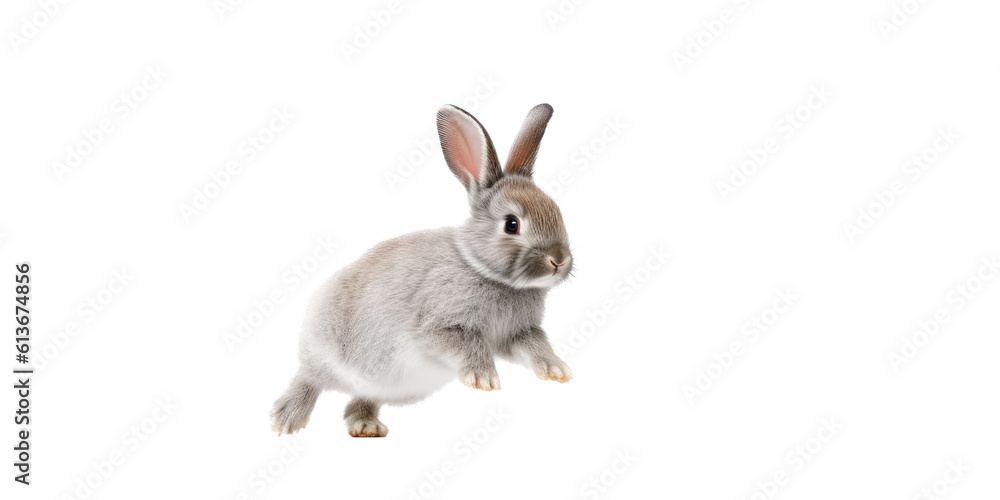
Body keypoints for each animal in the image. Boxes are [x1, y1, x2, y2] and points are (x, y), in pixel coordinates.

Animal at [270, 103, 574, 437]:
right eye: (512, 224)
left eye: (557, 211)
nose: (559, 260)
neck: (486, 270)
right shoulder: (438, 326)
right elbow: (468, 345)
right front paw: (483, 379)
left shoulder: (517, 333)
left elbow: (535, 347)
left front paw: (557, 370)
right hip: (326, 356)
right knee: (308, 379)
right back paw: (286, 420)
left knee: (358, 399)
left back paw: (366, 426)